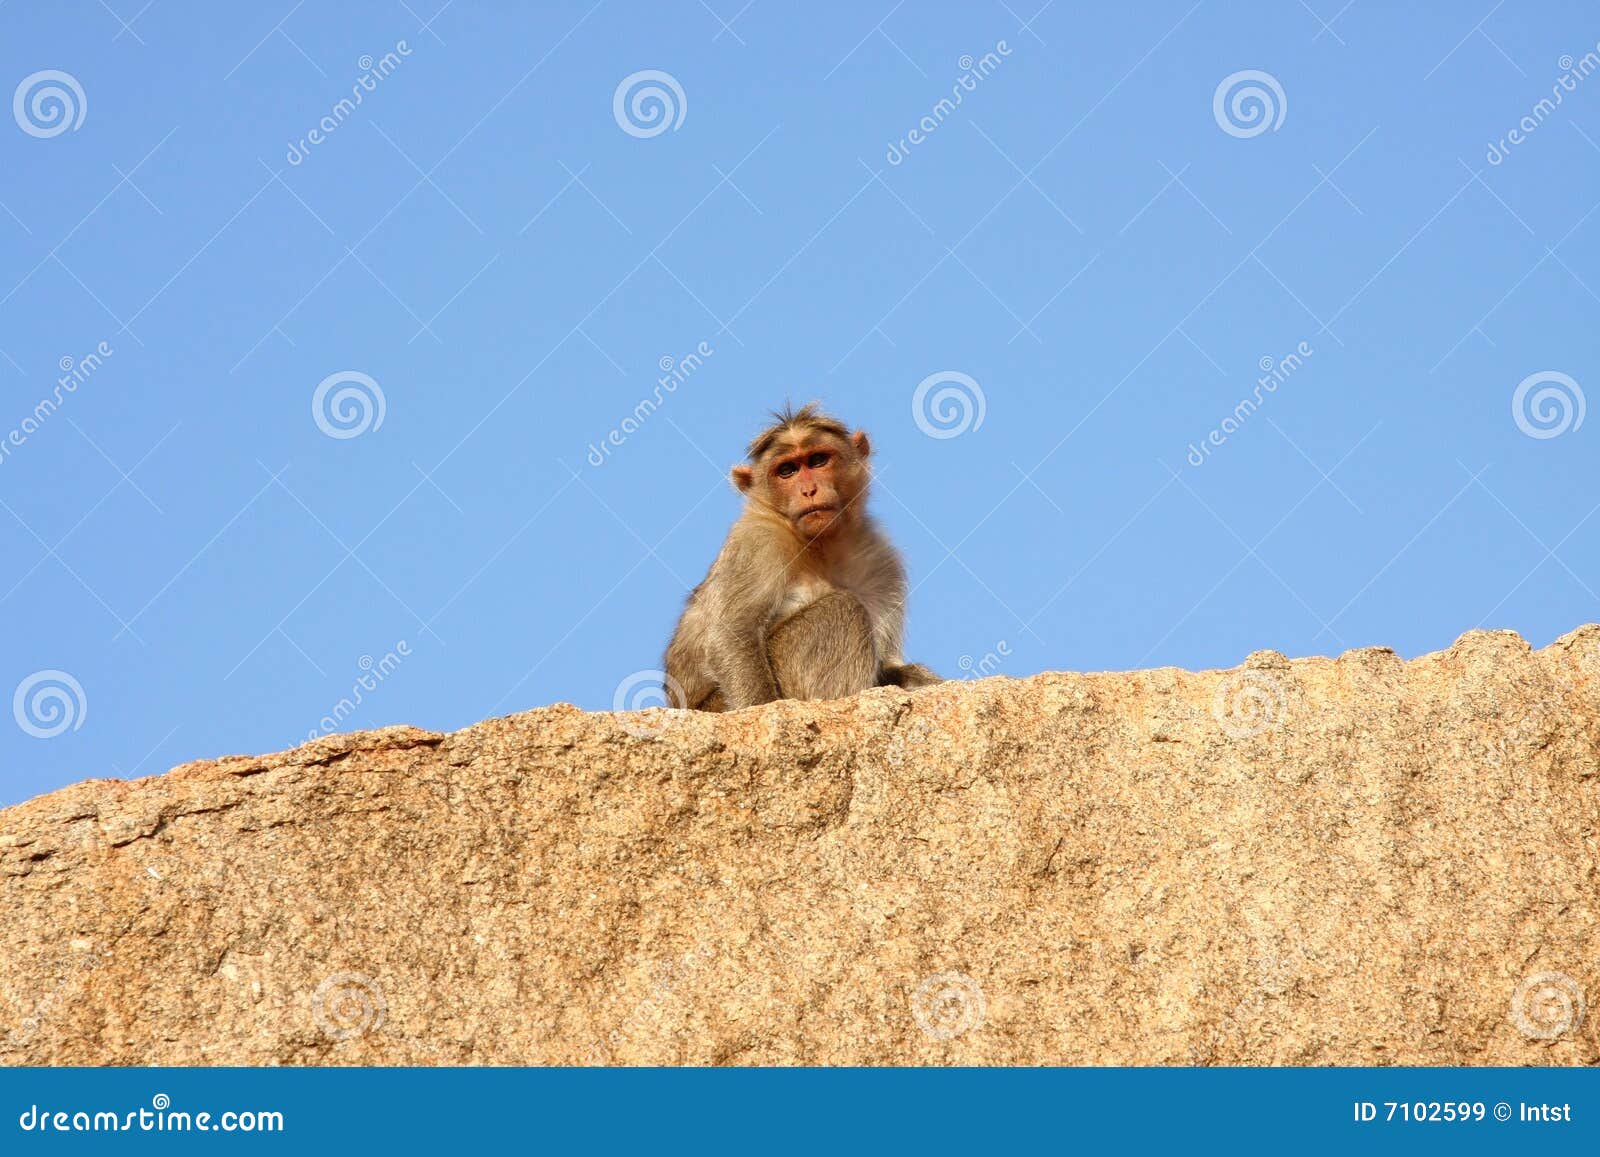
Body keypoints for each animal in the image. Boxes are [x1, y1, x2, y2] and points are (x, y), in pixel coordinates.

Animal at [663, 403, 940, 711]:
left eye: (818, 460)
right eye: (787, 470)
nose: (809, 490)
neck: (820, 546)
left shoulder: (881, 560)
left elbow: (888, 663)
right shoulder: (758, 541)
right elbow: (732, 636)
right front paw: (763, 706)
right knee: (842, 608)